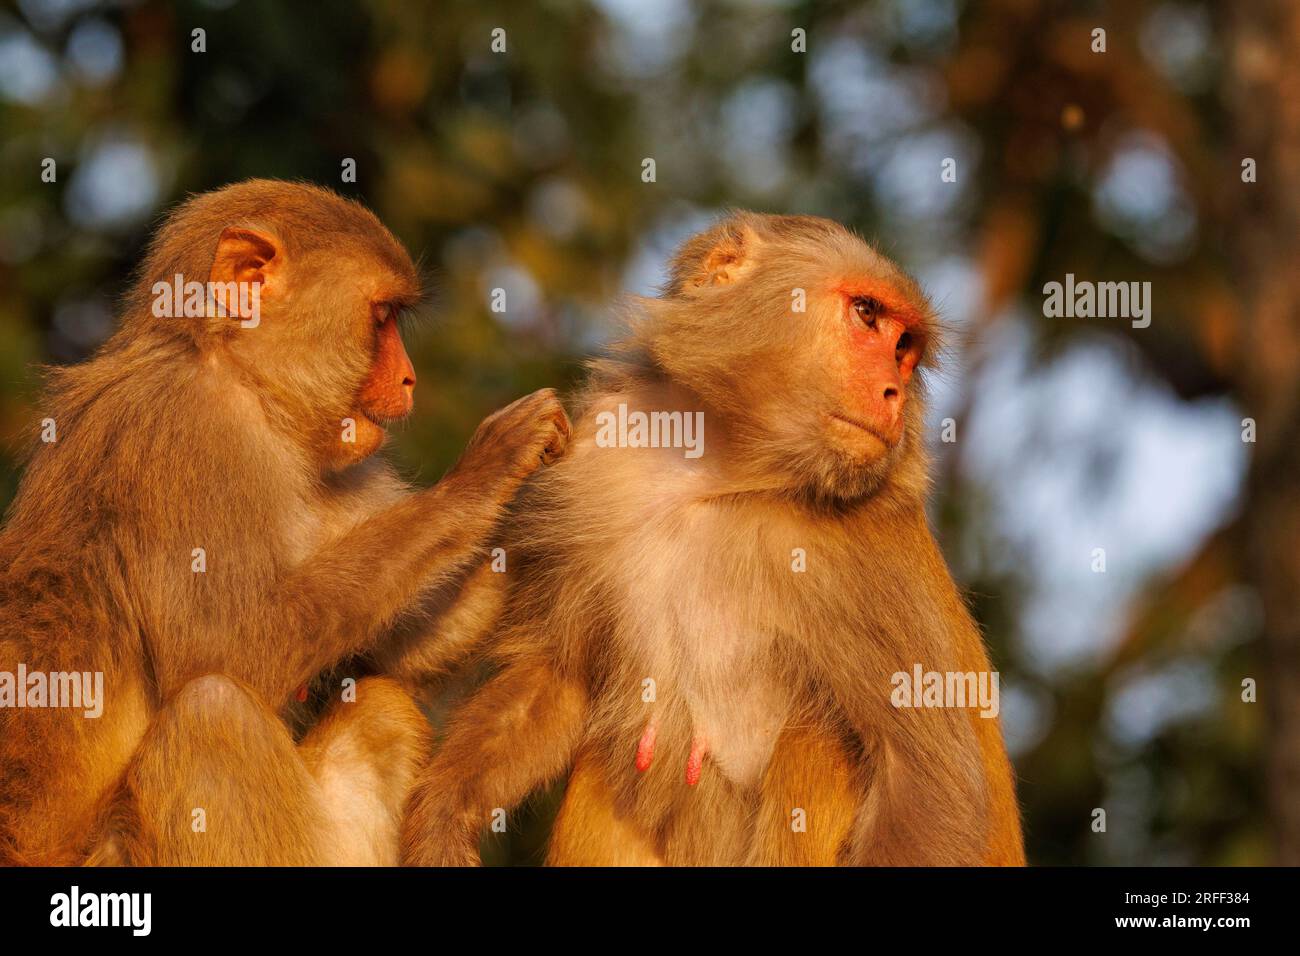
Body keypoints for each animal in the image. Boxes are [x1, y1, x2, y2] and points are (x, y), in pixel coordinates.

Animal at [0, 180, 570, 866]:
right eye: (382, 317)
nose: (409, 379)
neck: (246, 386)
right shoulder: (181, 432)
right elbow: (231, 647)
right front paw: (485, 473)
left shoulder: (332, 462)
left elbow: (412, 645)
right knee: (212, 712)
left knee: (378, 708)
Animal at [401, 212, 1024, 866]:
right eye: (867, 315)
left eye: (904, 349)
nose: (893, 394)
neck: (720, 478)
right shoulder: (596, 466)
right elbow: (561, 672)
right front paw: (444, 816)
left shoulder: (866, 554)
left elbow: (923, 786)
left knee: (817, 742)